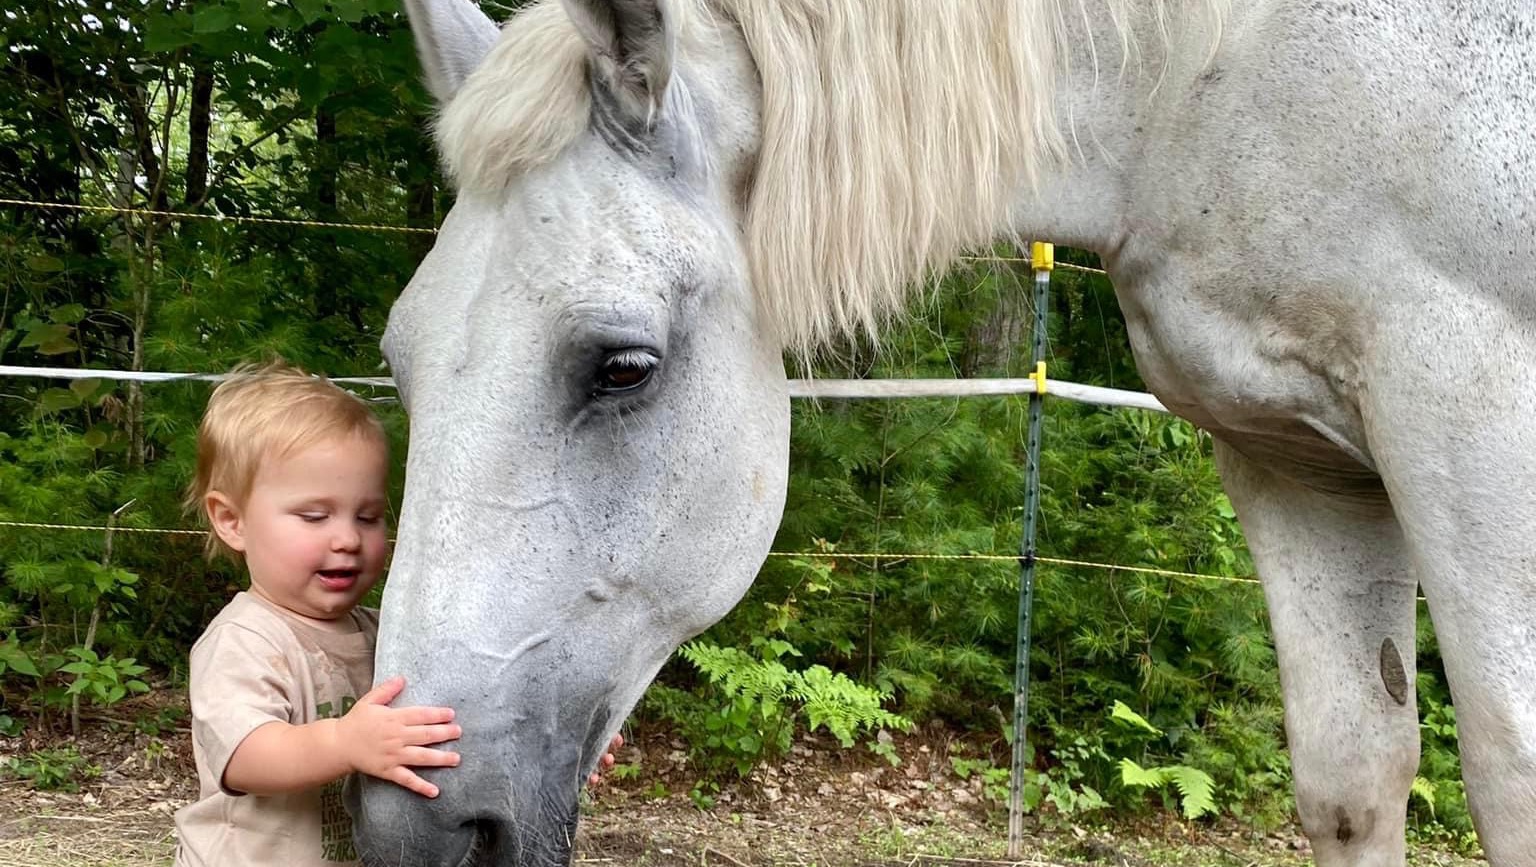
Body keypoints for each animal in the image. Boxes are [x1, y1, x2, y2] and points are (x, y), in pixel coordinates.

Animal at [351, 0, 1536, 864]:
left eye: (622, 367)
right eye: (399, 360)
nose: (407, 825)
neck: (1214, 78)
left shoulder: (1473, 422)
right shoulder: (1298, 466)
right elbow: (1352, 780)